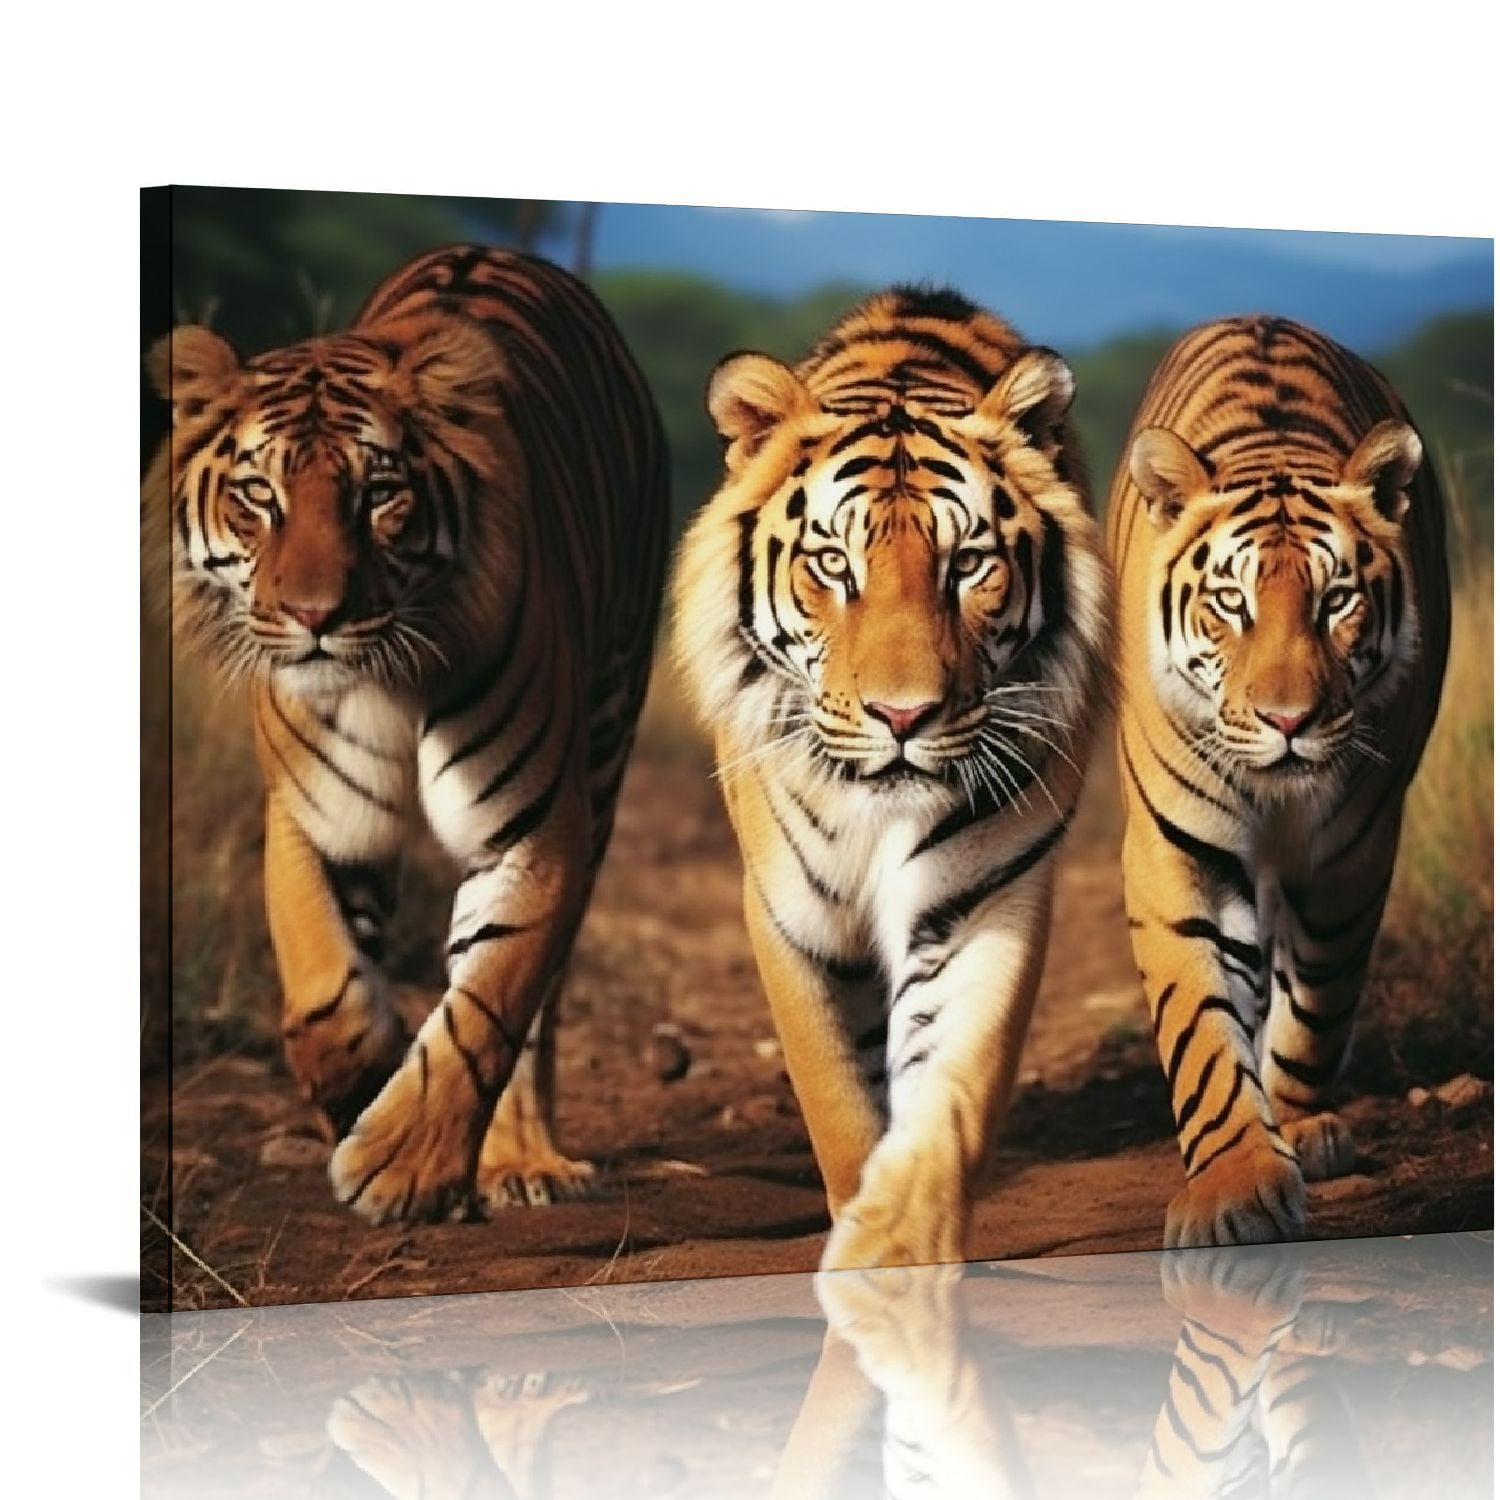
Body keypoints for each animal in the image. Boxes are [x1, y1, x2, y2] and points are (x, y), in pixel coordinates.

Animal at [145, 245, 669, 1224]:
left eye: (379, 495)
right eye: (259, 496)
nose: (315, 616)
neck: (386, 683)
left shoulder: (534, 834)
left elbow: (488, 1006)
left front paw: (405, 1166)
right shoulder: (316, 817)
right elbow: (322, 986)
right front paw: (356, 1088)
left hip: (606, 747)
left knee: (537, 1003)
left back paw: (520, 1161)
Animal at [672, 286, 1112, 1271]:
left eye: (969, 564)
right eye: (833, 564)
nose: (904, 718)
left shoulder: (985, 897)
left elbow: (953, 1087)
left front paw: (899, 1254)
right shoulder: (792, 916)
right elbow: (838, 1100)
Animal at [1107, 314, 1450, 1248]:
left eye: (1337, 602)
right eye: (1231, 603)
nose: (1288, 722)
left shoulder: (1353, 850)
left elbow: (1317, 1001)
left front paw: (1297, 1126)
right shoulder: (1176, 849)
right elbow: (1200, 1020)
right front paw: (1237, 1187)